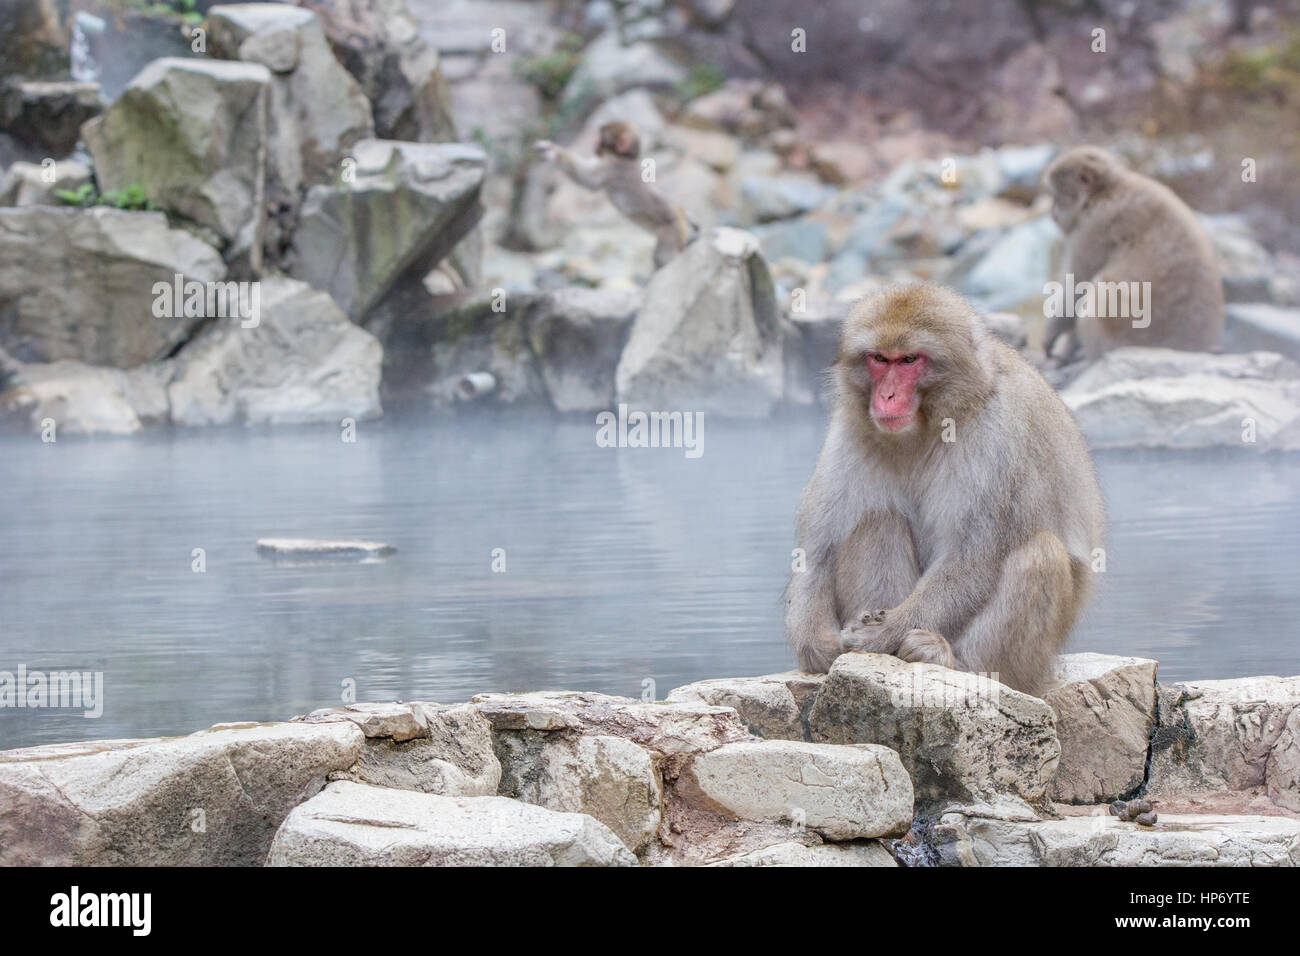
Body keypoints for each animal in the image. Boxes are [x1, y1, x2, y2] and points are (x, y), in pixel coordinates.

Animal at [534, 121, 694, 269]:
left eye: (601, 139)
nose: (594, 144)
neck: (624, 157)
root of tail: (681, 214)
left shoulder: (612, 167)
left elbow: (588, 179)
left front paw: (552, 152)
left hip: (672, 230)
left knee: (663, 256)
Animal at [784, 283, 1106, 696]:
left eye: (909, 360)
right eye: (879, 359)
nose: (886, 397)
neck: (930, 424)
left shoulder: (998, 434)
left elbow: (972, 559)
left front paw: (882, 633)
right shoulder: (851, 430)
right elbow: (817, 549)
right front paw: (817, 645)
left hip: (1033, 665)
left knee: (1039, 553)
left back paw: (954, 661)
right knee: (878, 521)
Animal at [1042, 145, 1225, 362]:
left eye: (1056, 197)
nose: (1052, 212)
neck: (1107, 191)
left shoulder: (1092, 229)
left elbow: (1077, 285)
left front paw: (1052, 336)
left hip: (1114, 332)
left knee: (1098, 289)